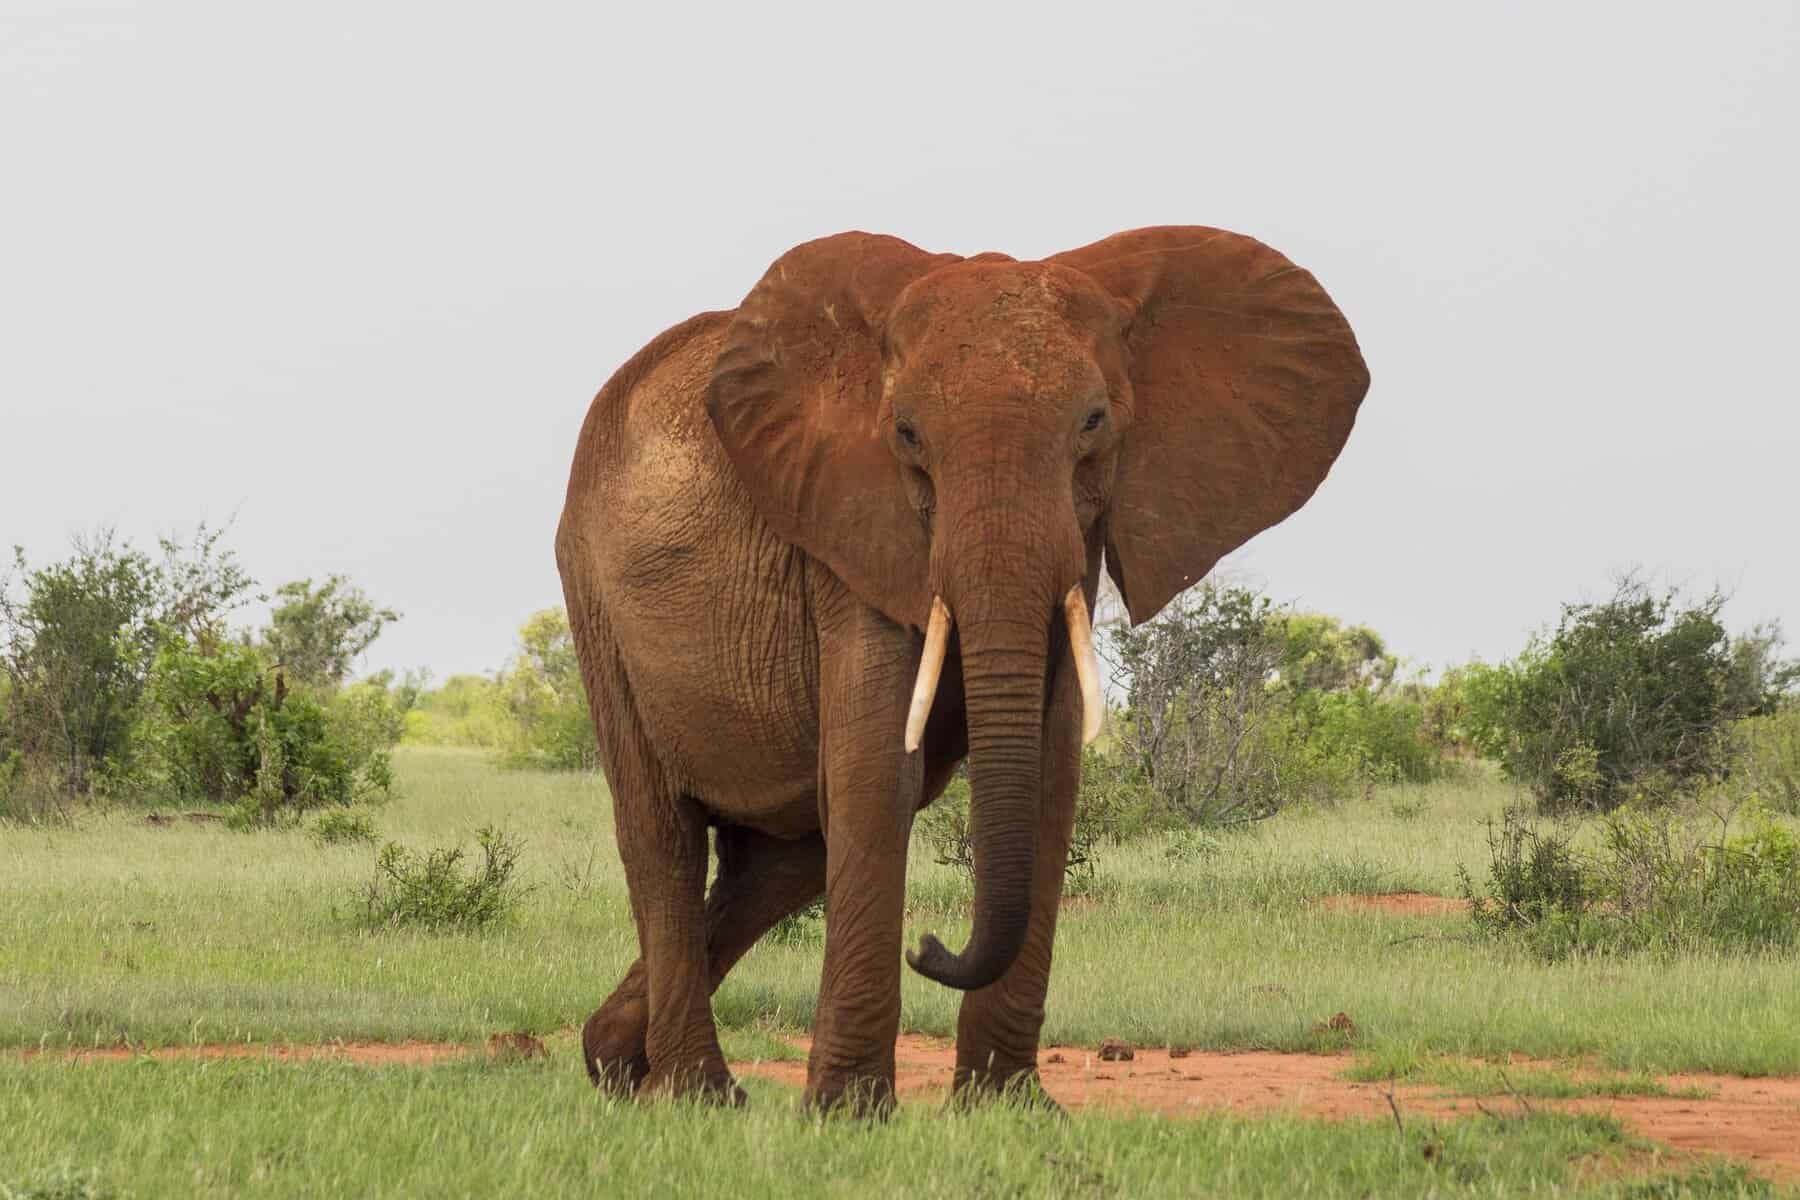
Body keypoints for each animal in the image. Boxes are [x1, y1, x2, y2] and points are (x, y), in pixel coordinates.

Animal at [555, 225, 1368, 1113]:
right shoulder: (850, 530)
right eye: (907, 435)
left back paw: (614, 1061)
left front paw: (1008, 1109)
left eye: (1094, 422)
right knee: (663, 835)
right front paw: (848, 1115)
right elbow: (880, 770)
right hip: (593, 593)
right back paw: (695, 1095)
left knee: (782, 860)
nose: (930, 945)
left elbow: (1048, 772)